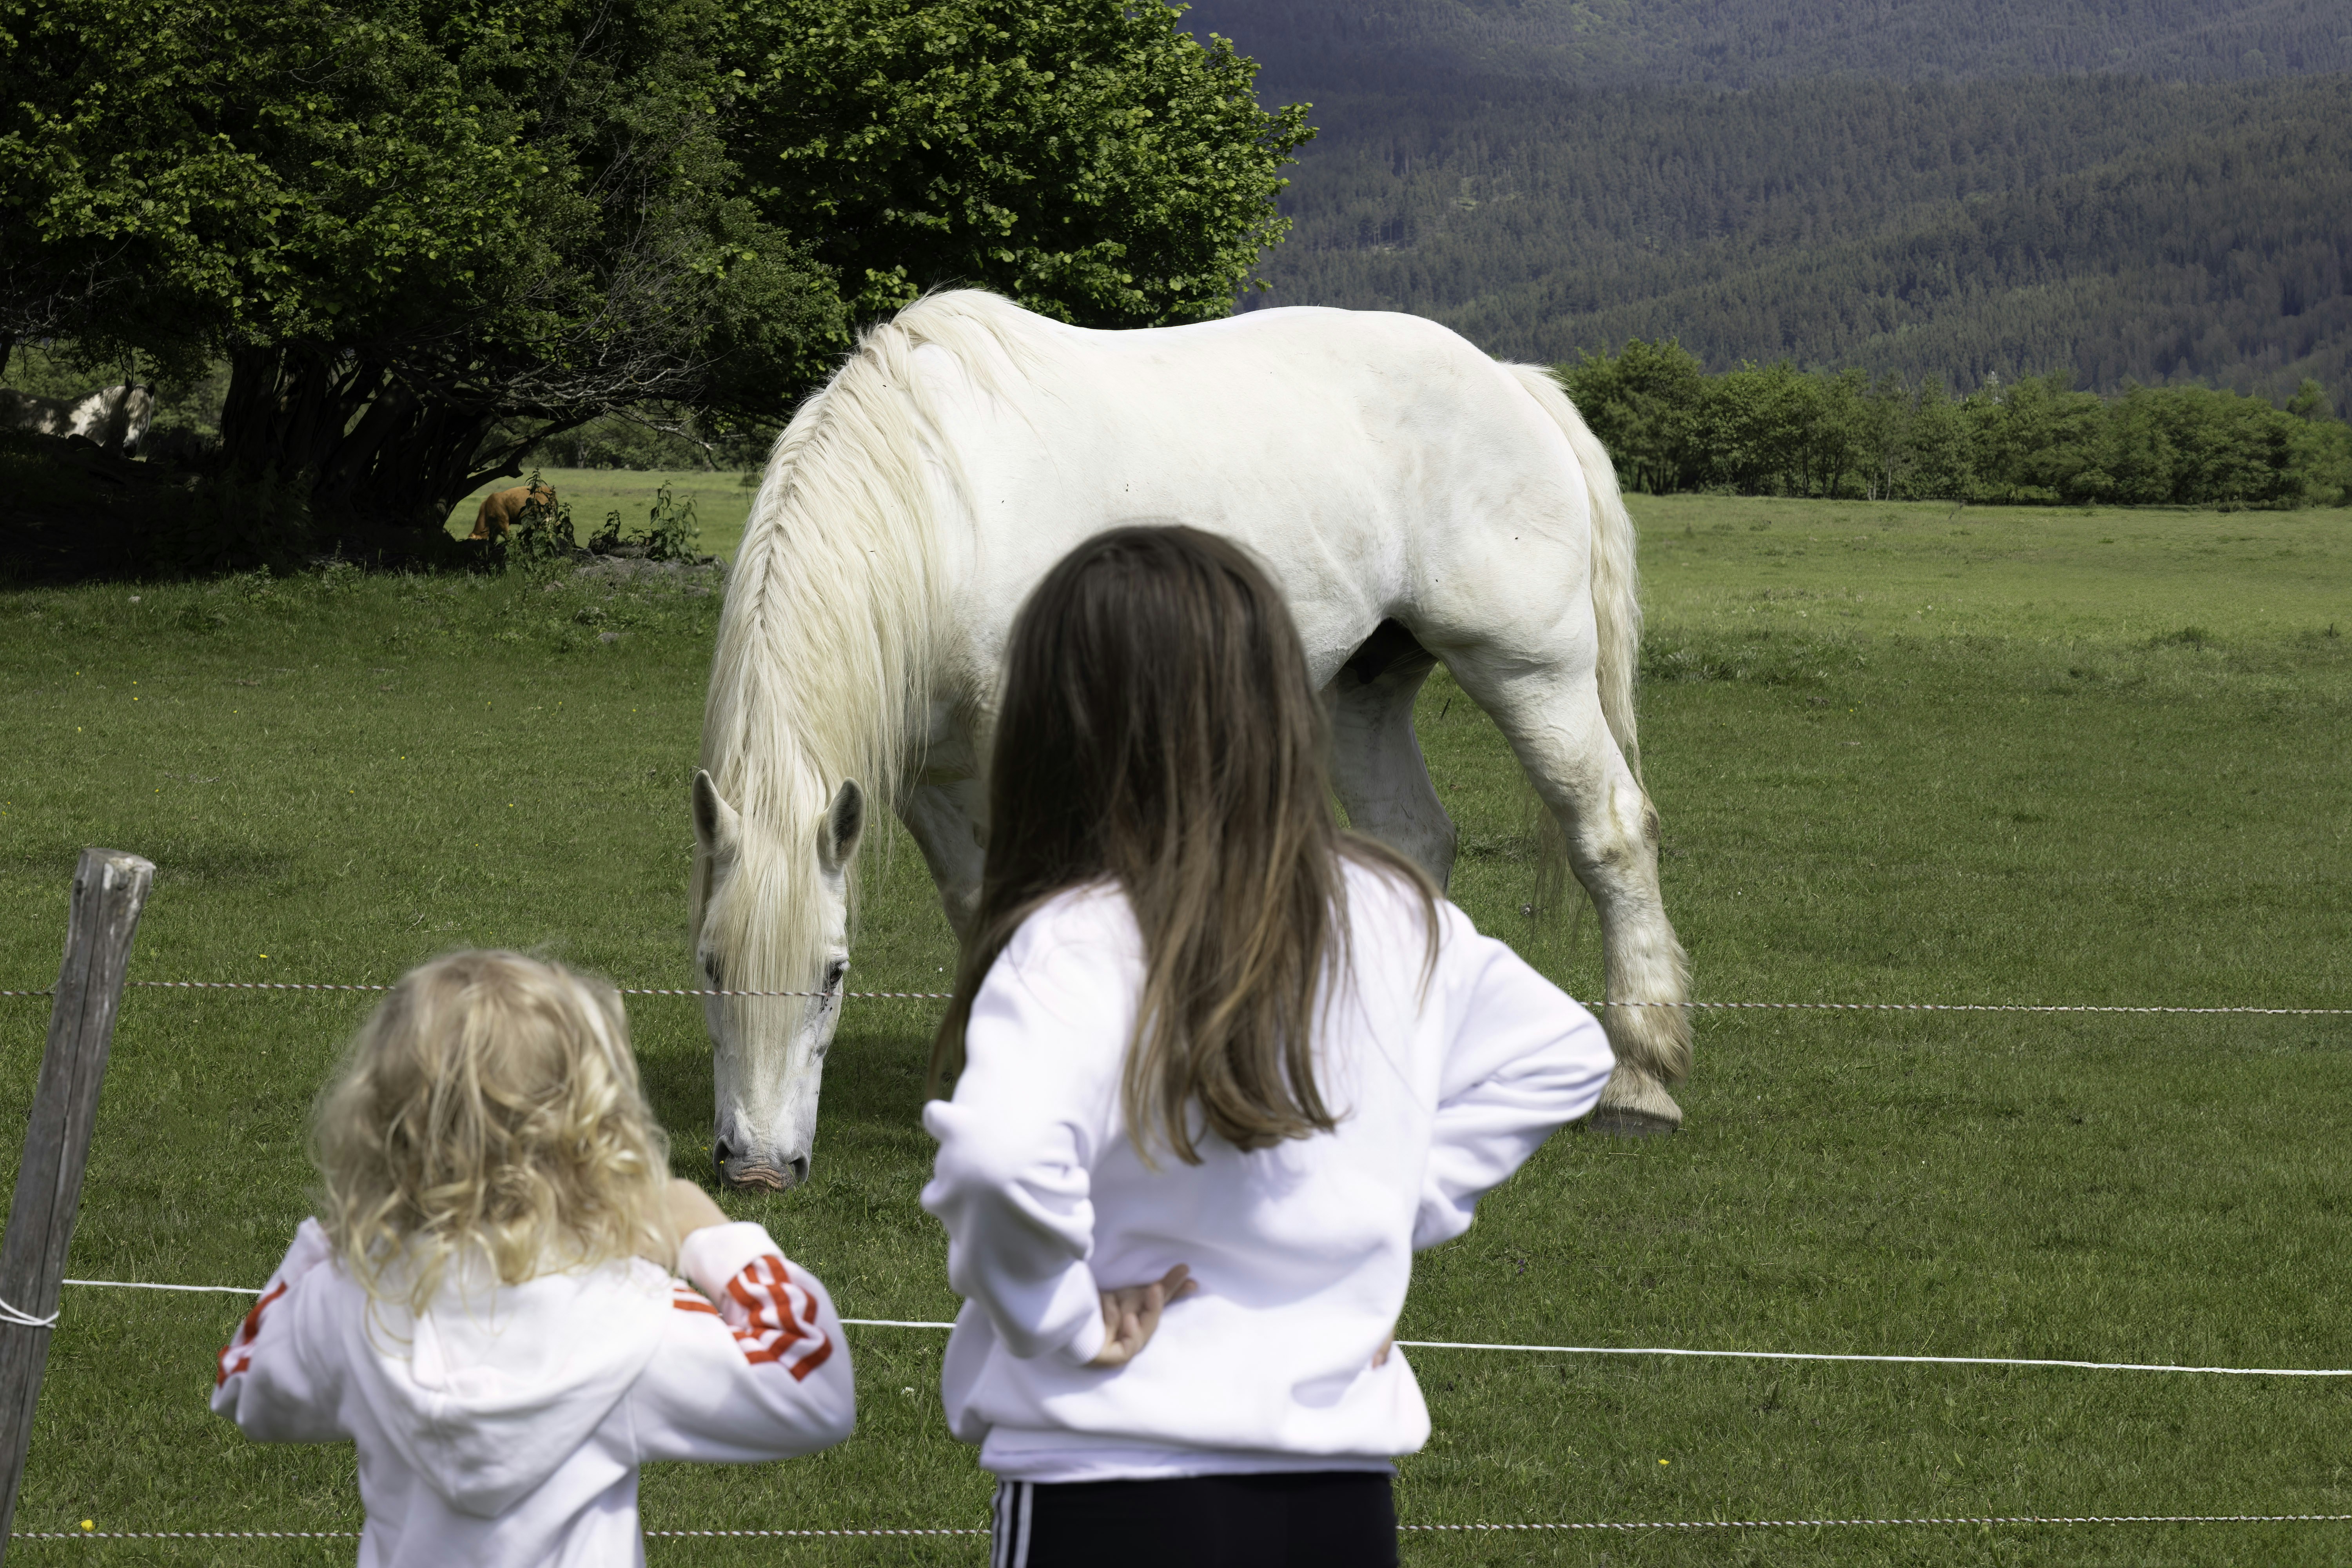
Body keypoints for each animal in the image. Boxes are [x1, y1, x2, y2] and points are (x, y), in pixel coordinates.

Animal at [693, 290, 1692, 1190]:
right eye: (709, 966)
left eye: (833, 974)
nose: (758, 1168)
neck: (945, 501)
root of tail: (1512, 382)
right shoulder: (933, 779)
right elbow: (979, 908)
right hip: (1362, 692)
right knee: (1413, 838)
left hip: (1530, 672)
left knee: (1610, 831)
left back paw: (1641, 1081)